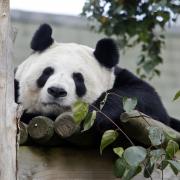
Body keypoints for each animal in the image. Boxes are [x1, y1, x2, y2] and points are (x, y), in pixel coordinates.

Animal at [14, 23, 180, 142]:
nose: (57, 91)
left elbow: (147, 99)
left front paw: (97, 114)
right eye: (47, 72)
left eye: (78, 78)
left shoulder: (120, 78)